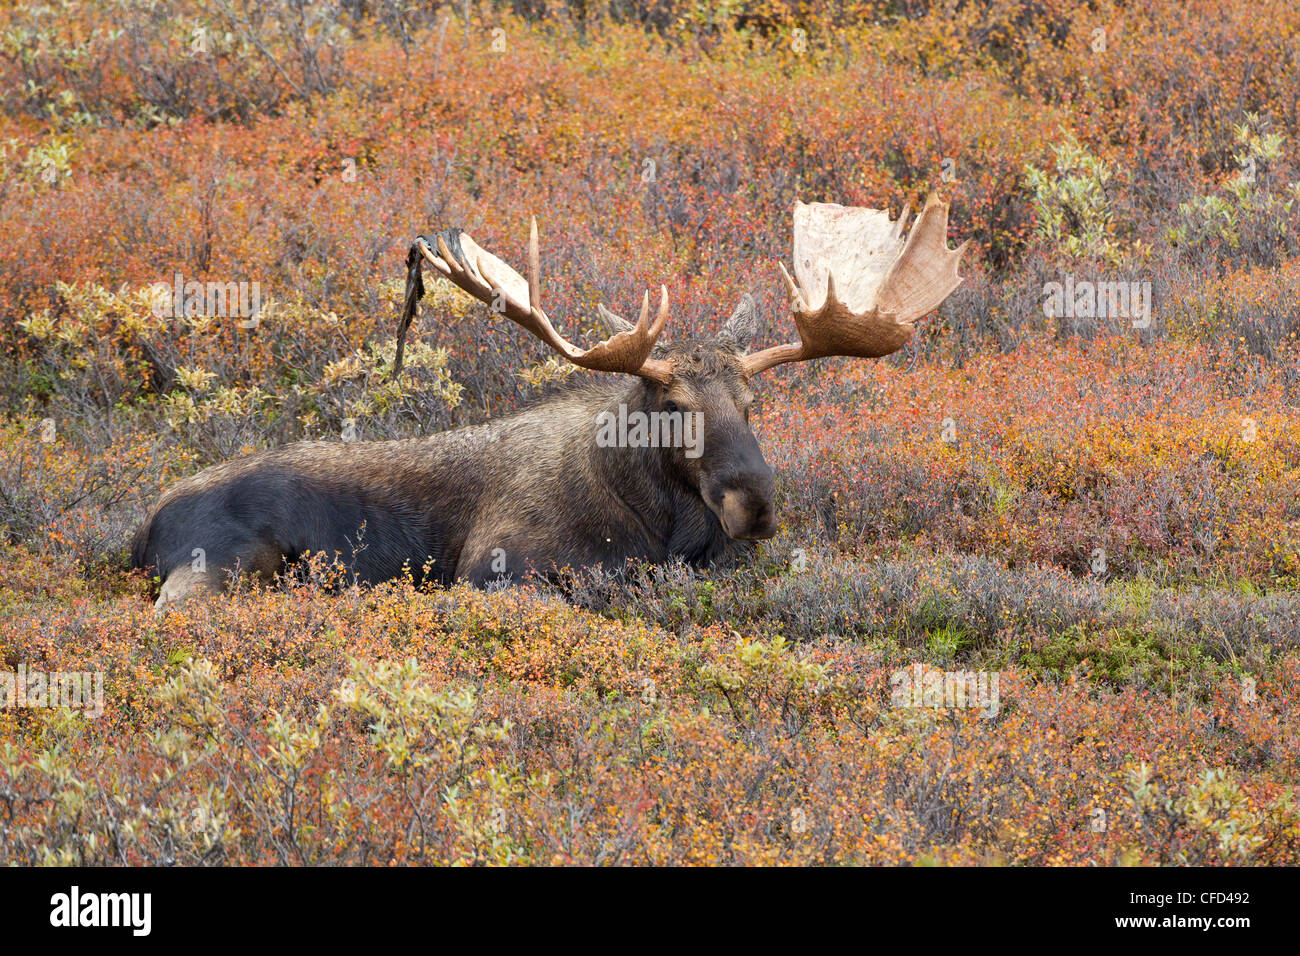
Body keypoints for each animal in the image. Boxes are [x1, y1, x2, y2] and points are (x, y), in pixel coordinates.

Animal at [131, 194, 968, 606]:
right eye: (671, 404)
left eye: (753, 400)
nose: (754, 505)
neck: (662, 523)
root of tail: (142, 527)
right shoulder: (497, 568)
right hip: (221, 571)